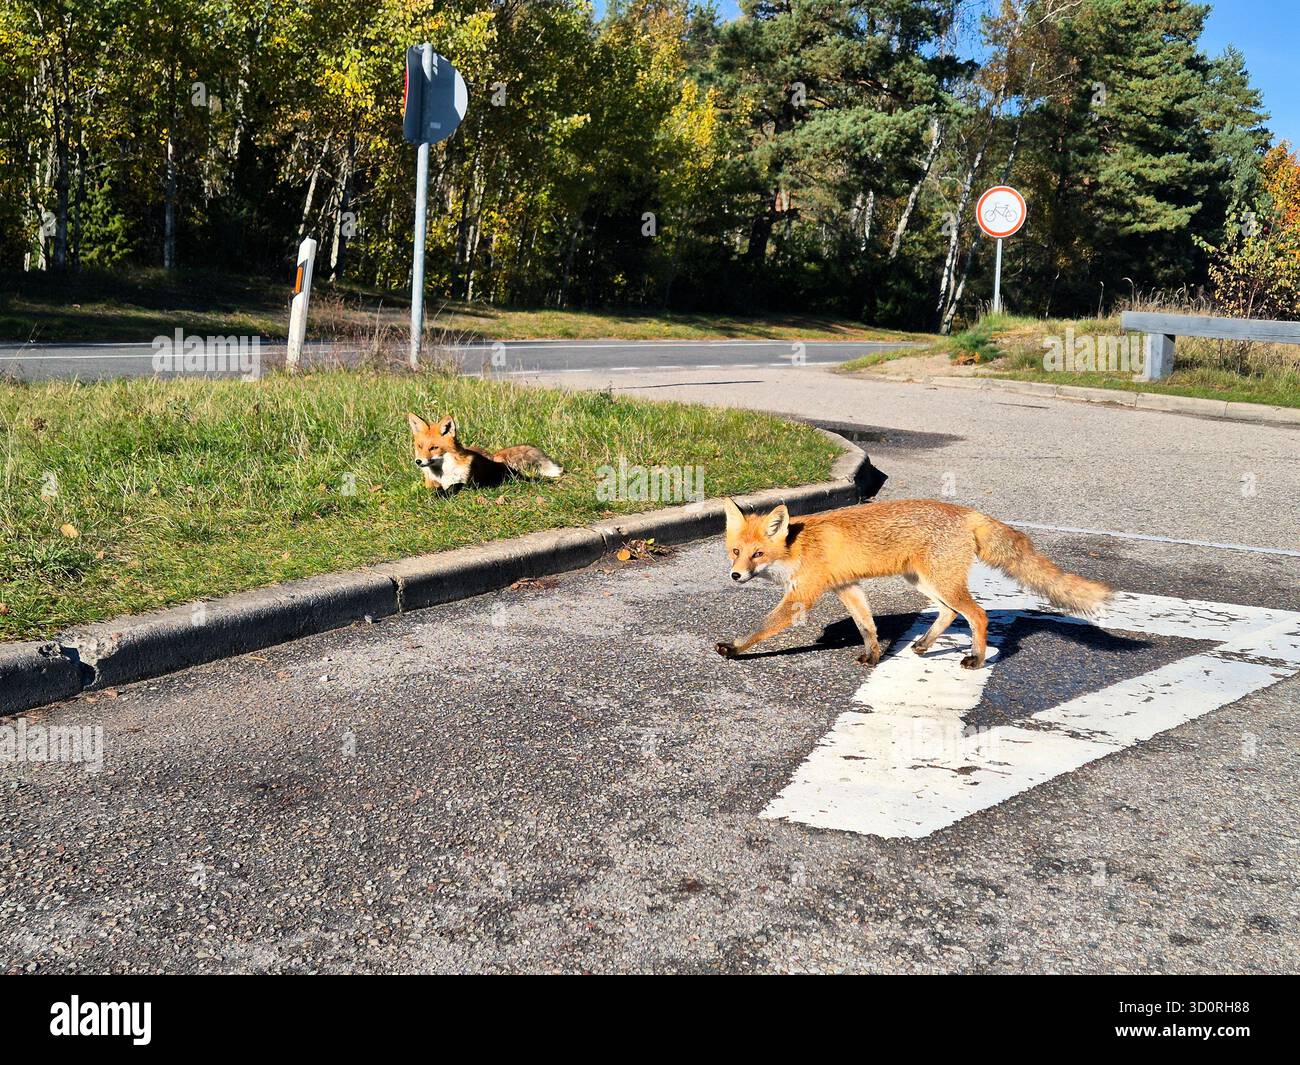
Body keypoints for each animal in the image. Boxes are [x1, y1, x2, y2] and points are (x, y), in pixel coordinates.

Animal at [406, 413, 562, 491]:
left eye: (434, 448)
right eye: (420, 446)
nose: (418, 461)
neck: (443, 474)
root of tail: (493, 455)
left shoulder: (468, 484)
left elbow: (453, 487)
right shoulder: (430, 484)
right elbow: (435, 489)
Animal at [716, 497, 1112, 669]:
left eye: (757, 555)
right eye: (735, 551)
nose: (735, 575)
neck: (797, 546)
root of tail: (968, 512)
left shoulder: (801, 597)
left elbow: (762, 628)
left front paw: (734, 648)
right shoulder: (848, 588)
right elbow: (867, 626)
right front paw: (874, 656)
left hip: (941, 582)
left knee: (978, 615)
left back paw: (976, 658)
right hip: (923, 582)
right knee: (948, 613)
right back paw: (923, 645)